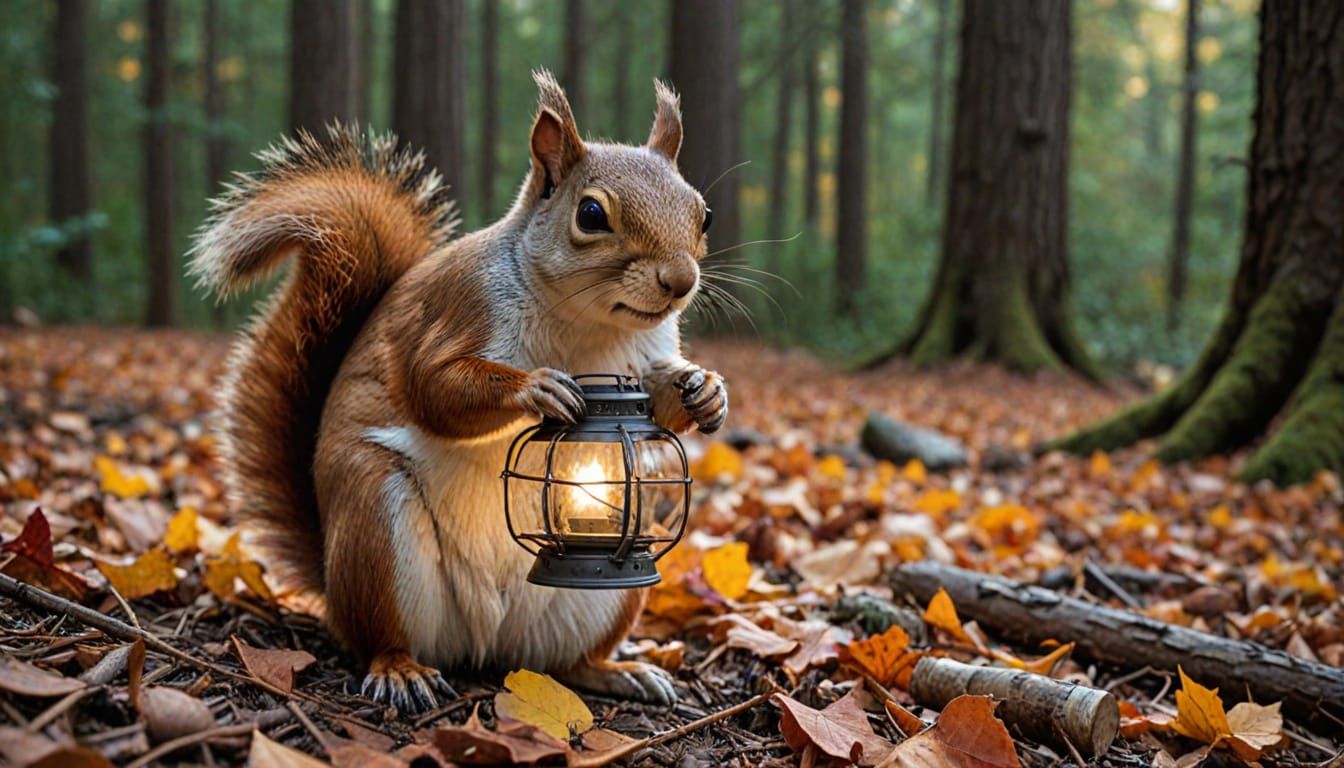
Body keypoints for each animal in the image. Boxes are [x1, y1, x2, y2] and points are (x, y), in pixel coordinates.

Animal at [189, 71, 727, 713]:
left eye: (703, 213)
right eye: (592, 213)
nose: (681, 281)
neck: (589, 326)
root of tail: (484, 645)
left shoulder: (645, 354)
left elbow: (657, 403)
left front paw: (704, 391)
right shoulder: (461, 309)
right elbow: (436, 389)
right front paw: (536, 388)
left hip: (611, 577)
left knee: (567, 661)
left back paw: (617, 671)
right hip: (376, 522)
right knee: (380, 634)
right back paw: (400, 670)